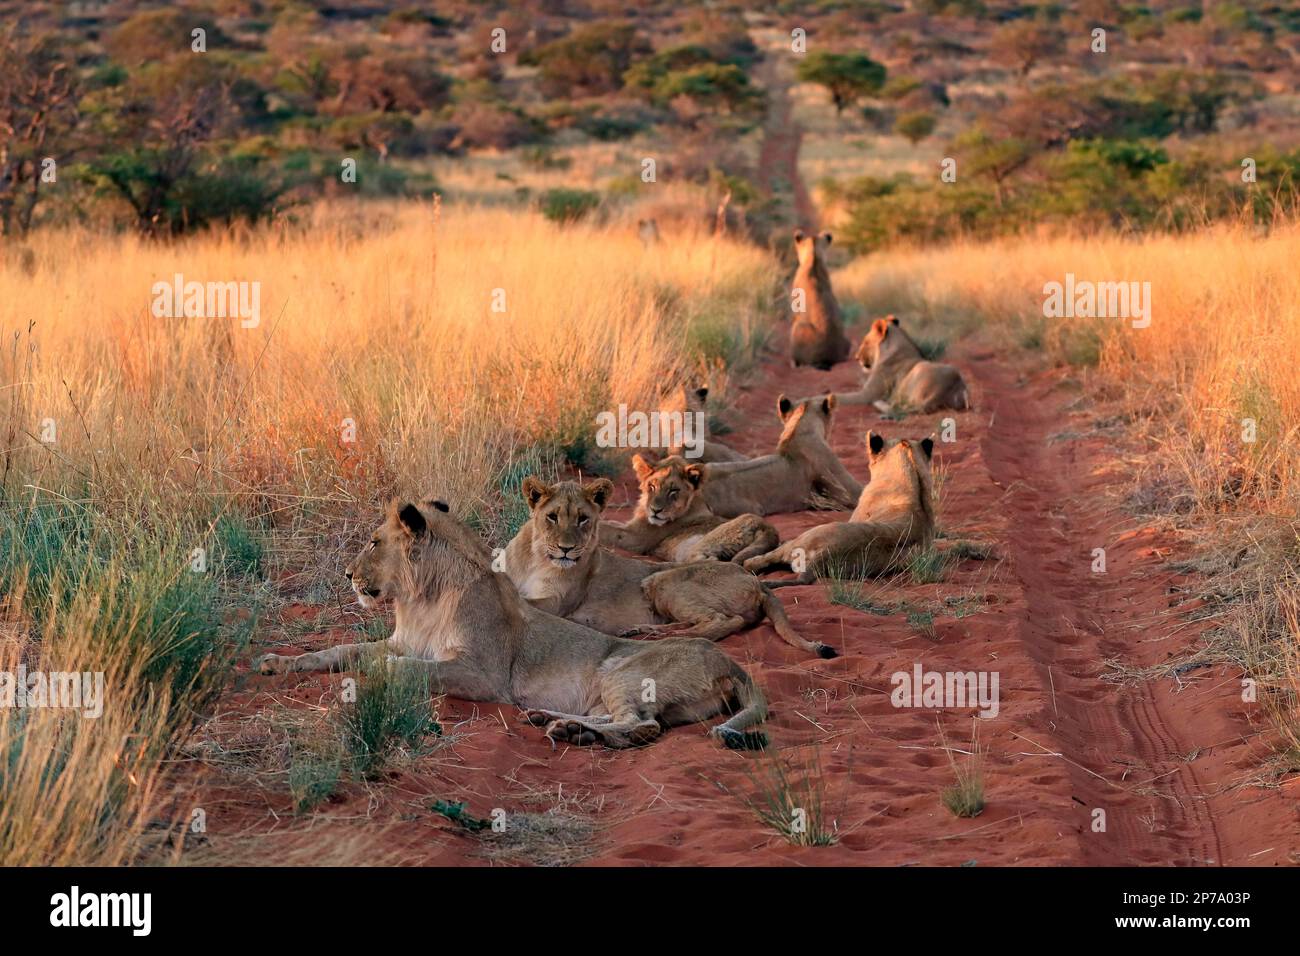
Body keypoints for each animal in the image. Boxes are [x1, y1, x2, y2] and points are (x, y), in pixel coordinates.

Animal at [254, 499, 769, 750]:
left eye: (375, 543)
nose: (346, 575)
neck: (423, 599)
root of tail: (731, 663)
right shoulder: (403, 641)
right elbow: (341, 651)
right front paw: (277, 663)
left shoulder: (483, 675)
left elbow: (411, 670)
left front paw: (378, 676)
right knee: (621, 719)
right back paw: (554, 721)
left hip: (625, 673)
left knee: (642, 726)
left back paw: (573, 733)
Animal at [504, 477, 835, 658]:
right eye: (552, 516)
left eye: (583, 519)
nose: (566, 548)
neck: (537, 556)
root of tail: (757, 581)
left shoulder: (560, 602)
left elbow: (525, 601)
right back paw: (645, 631)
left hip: (662, 579)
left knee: (723, 621)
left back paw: (662, 639)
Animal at [600, 454, 778, 564]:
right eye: (652, 486)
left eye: (673, 490)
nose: (655, 510)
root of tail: (768, 528)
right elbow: (611, 522)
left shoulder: (636, 538)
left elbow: (606, 529)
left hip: (708, 541)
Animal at [835, 315, 969, 414]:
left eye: (866, 342)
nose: (856, 357)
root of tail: (940, 392)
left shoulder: (868, 394)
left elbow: (840, 396)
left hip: (917, 371)